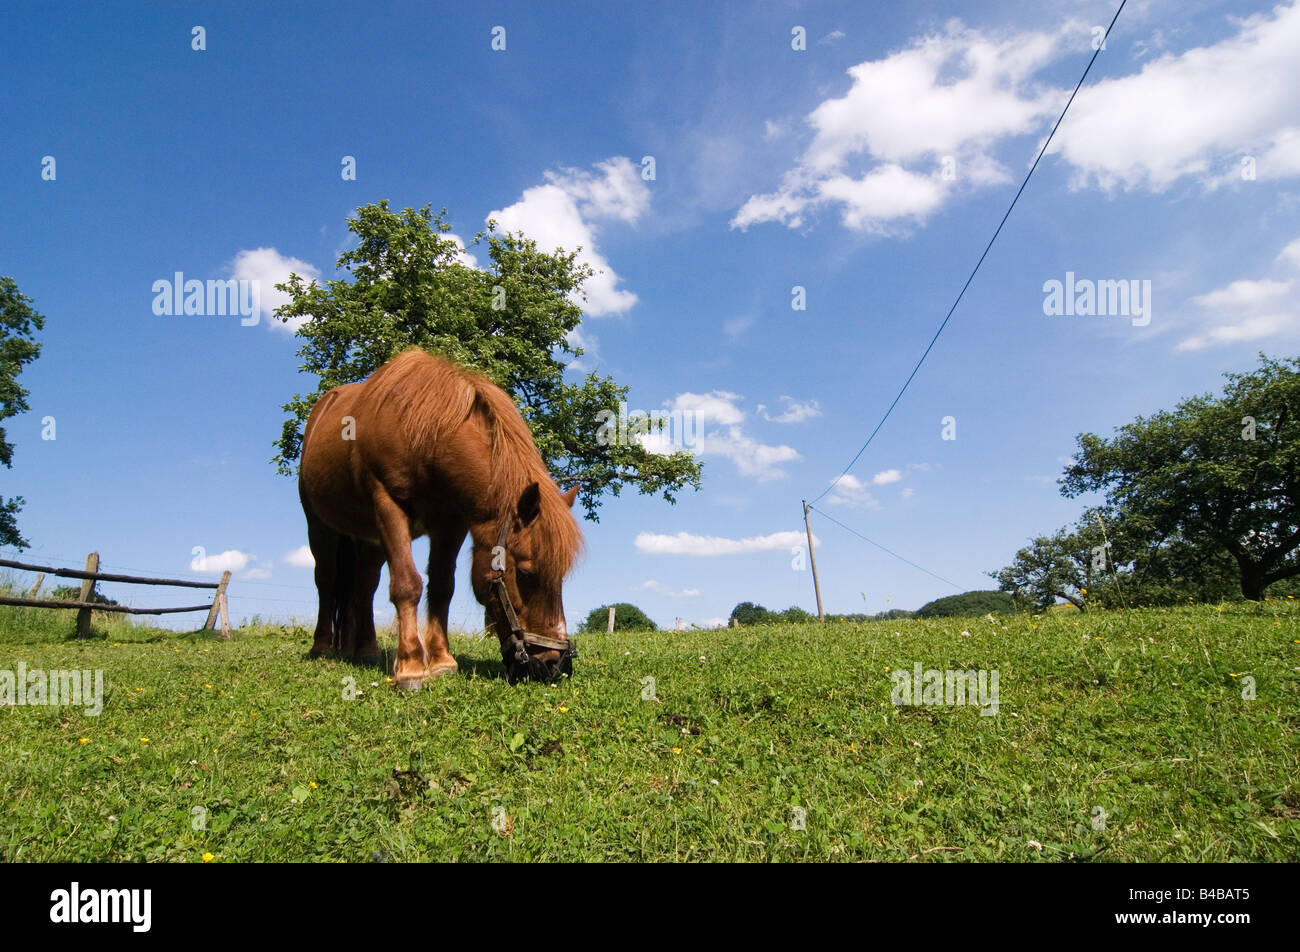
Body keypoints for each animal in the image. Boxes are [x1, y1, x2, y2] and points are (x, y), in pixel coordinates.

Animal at [297, 348, 583, 689]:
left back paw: (366, 650)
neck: (426, 434)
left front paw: (442, 661)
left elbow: (442, 586)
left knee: (365, 586)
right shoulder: (388, 507)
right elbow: (407, 584)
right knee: (326, 581)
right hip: (321, 526)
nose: (555, 664)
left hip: (370, 539)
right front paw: (411, 667)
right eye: (526, 573)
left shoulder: (451, 524)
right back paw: (322, 647)